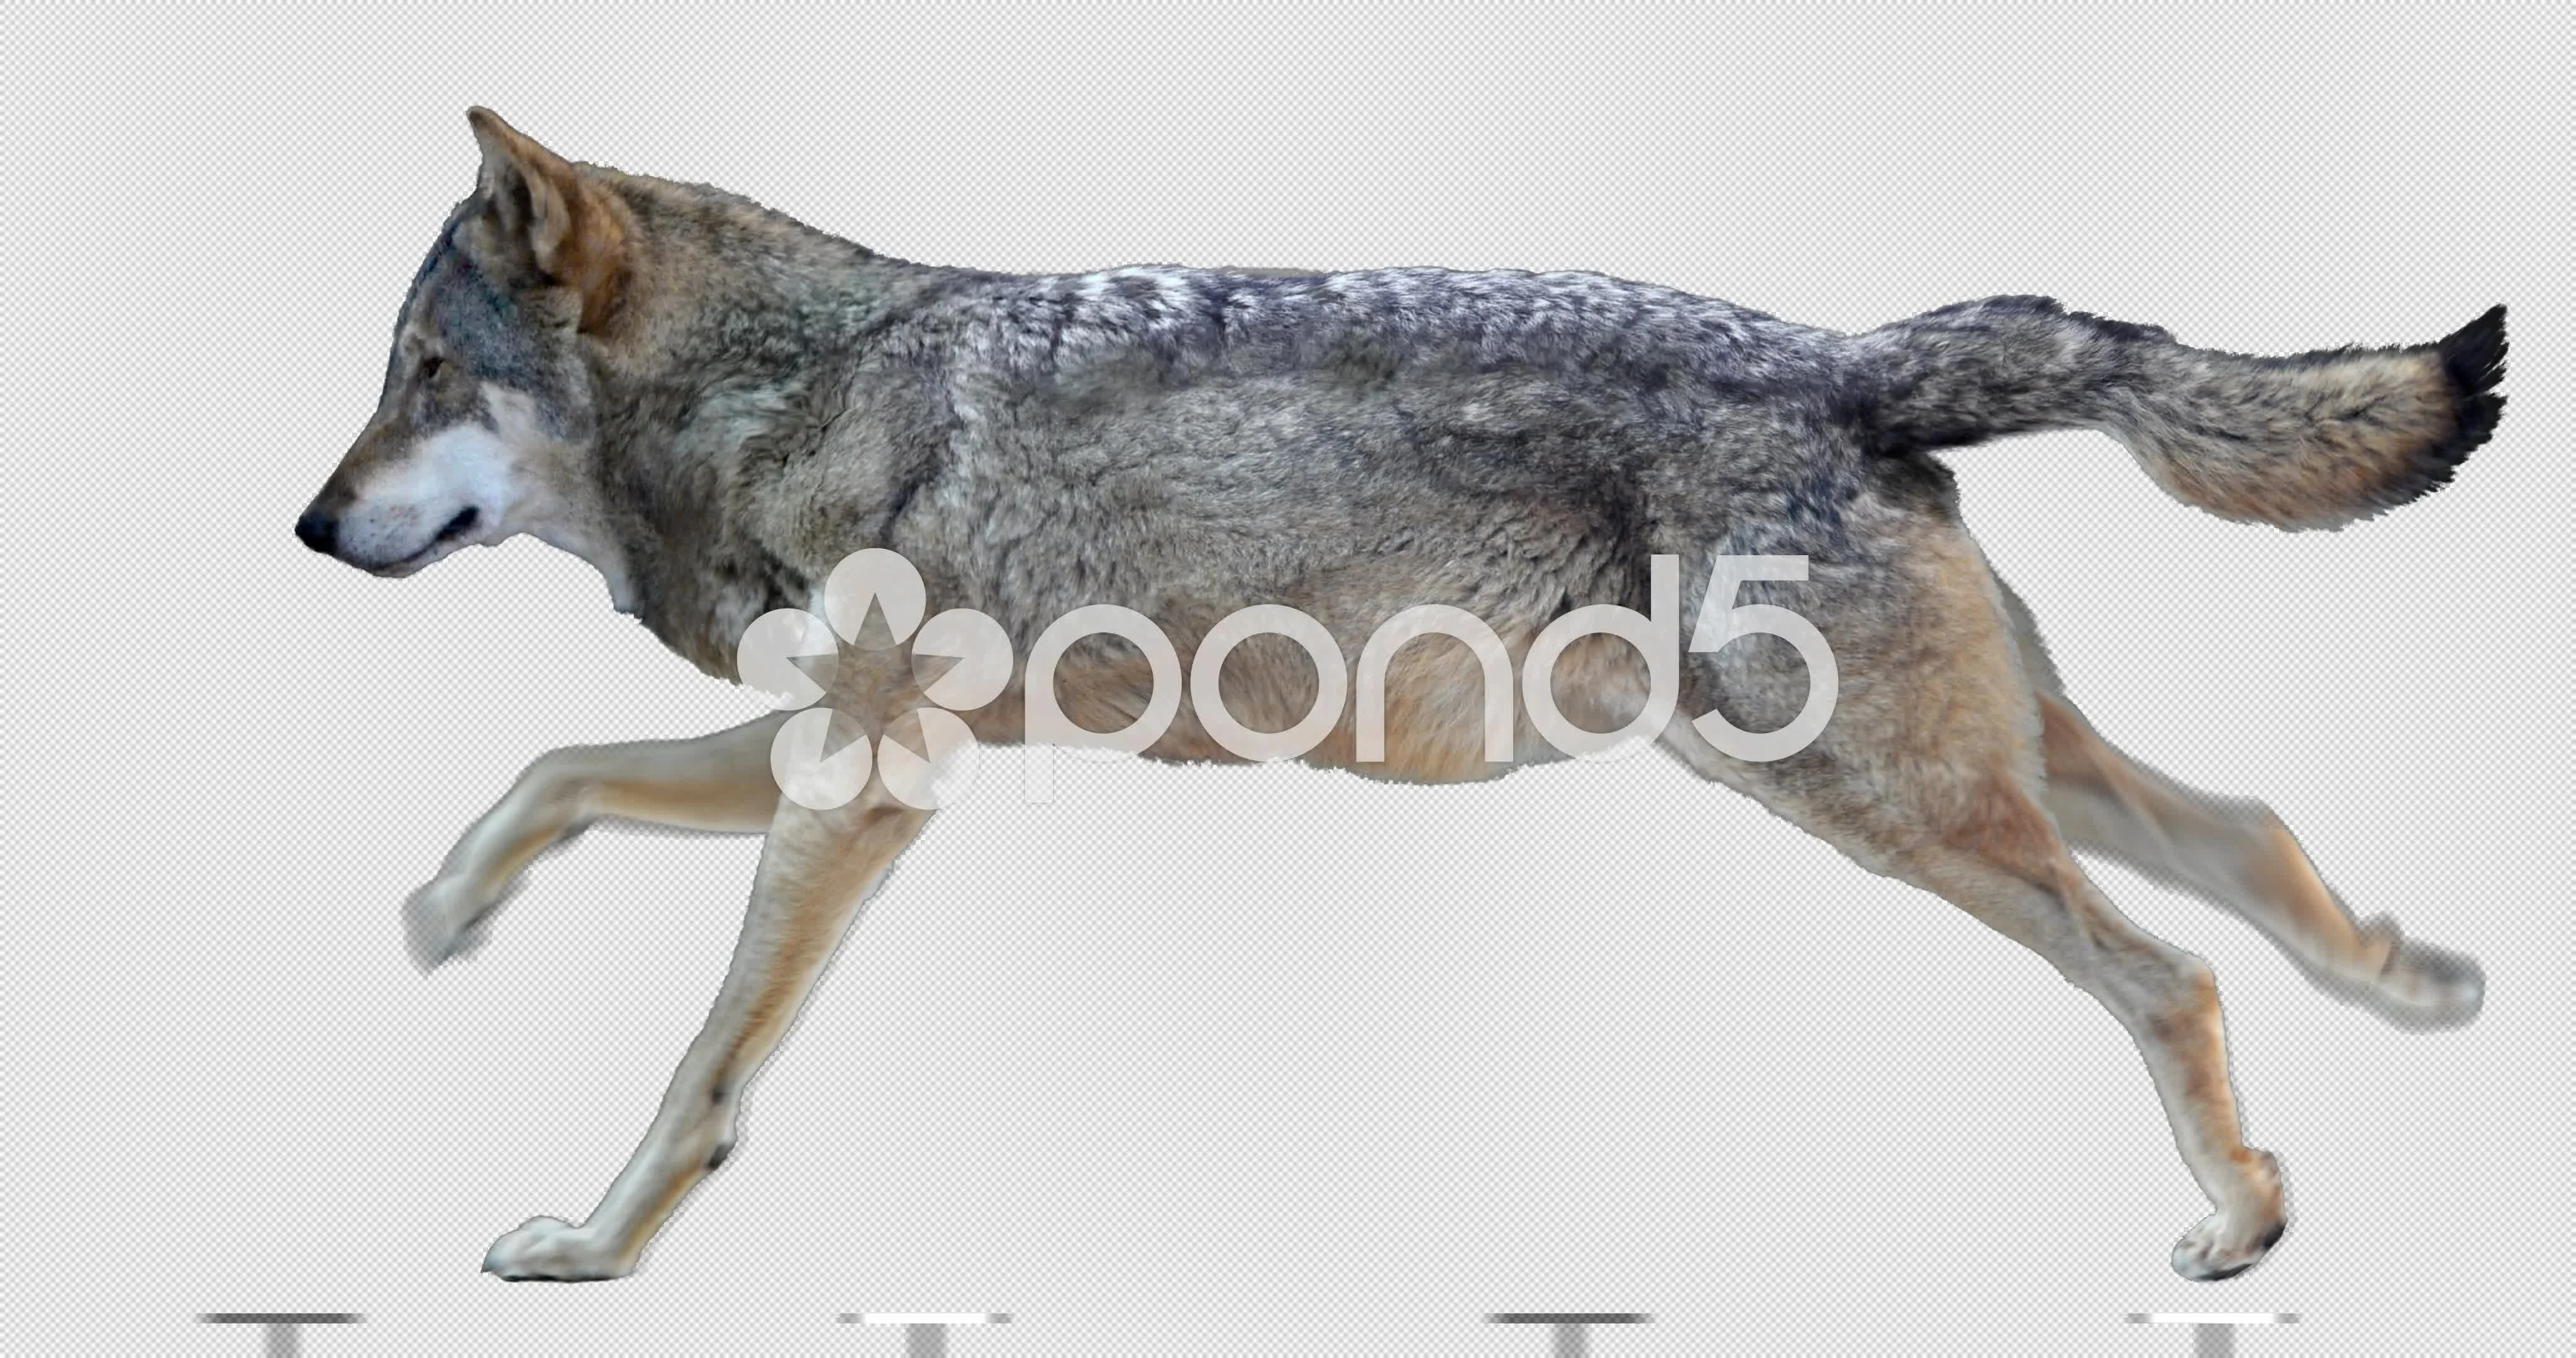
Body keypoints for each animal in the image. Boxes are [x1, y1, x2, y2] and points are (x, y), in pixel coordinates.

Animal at [298, 109, 2502, 1282]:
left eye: (424, 377)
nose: (310, 529)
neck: (792, 398)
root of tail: (1851, 352)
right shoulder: (857, 761)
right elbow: (550, 771)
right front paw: (439, 918)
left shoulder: (864, 791)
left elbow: (698, 1063)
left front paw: (591, 1256)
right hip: (1977, 772)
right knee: (2250, 835)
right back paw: (2414, 992)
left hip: (1879, 804)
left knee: (2171, 971)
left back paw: (2245, 1224)